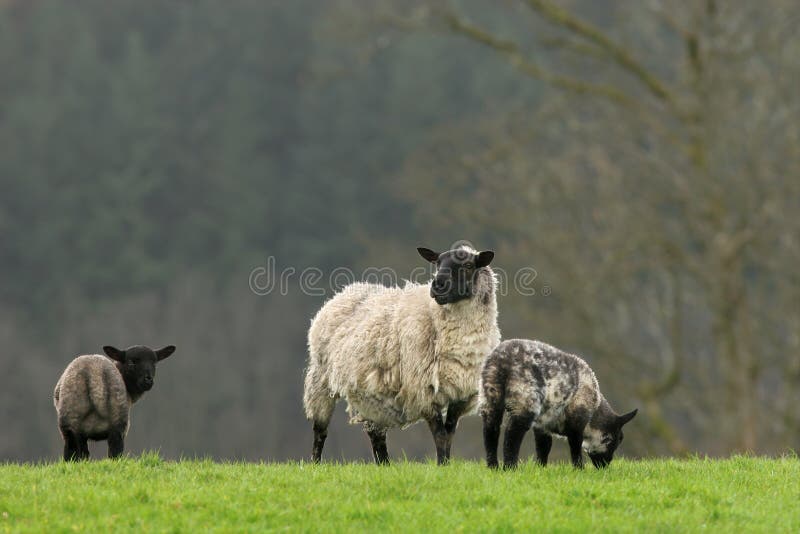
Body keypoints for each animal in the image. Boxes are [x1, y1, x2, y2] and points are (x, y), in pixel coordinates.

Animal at [304, 245, 500, 465]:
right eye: (437, 263)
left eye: (468, 265)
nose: (437, 286)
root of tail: (345, 292)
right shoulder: (423, 392)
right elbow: (440, 435)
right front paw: (442, 465)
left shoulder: (460, 396)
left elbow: (449, 435)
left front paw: (446, 463)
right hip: (320, 380)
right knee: (320, 430)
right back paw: (315, 463)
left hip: (370, 395)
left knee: (376, 434)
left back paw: (384, 465)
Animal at [480, 339, 637, 469]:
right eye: (616, 440)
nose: (605, 466)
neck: (594, 410)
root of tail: (502, 362)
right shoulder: (576, 422)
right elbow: (575, 446)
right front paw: (579, 469)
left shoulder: (543, 424)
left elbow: (544, 446)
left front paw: (541, 468)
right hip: (525, 399)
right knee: (512, 434)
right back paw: (510, 467)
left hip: (490, 396)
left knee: (490, 431)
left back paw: (493, 467)